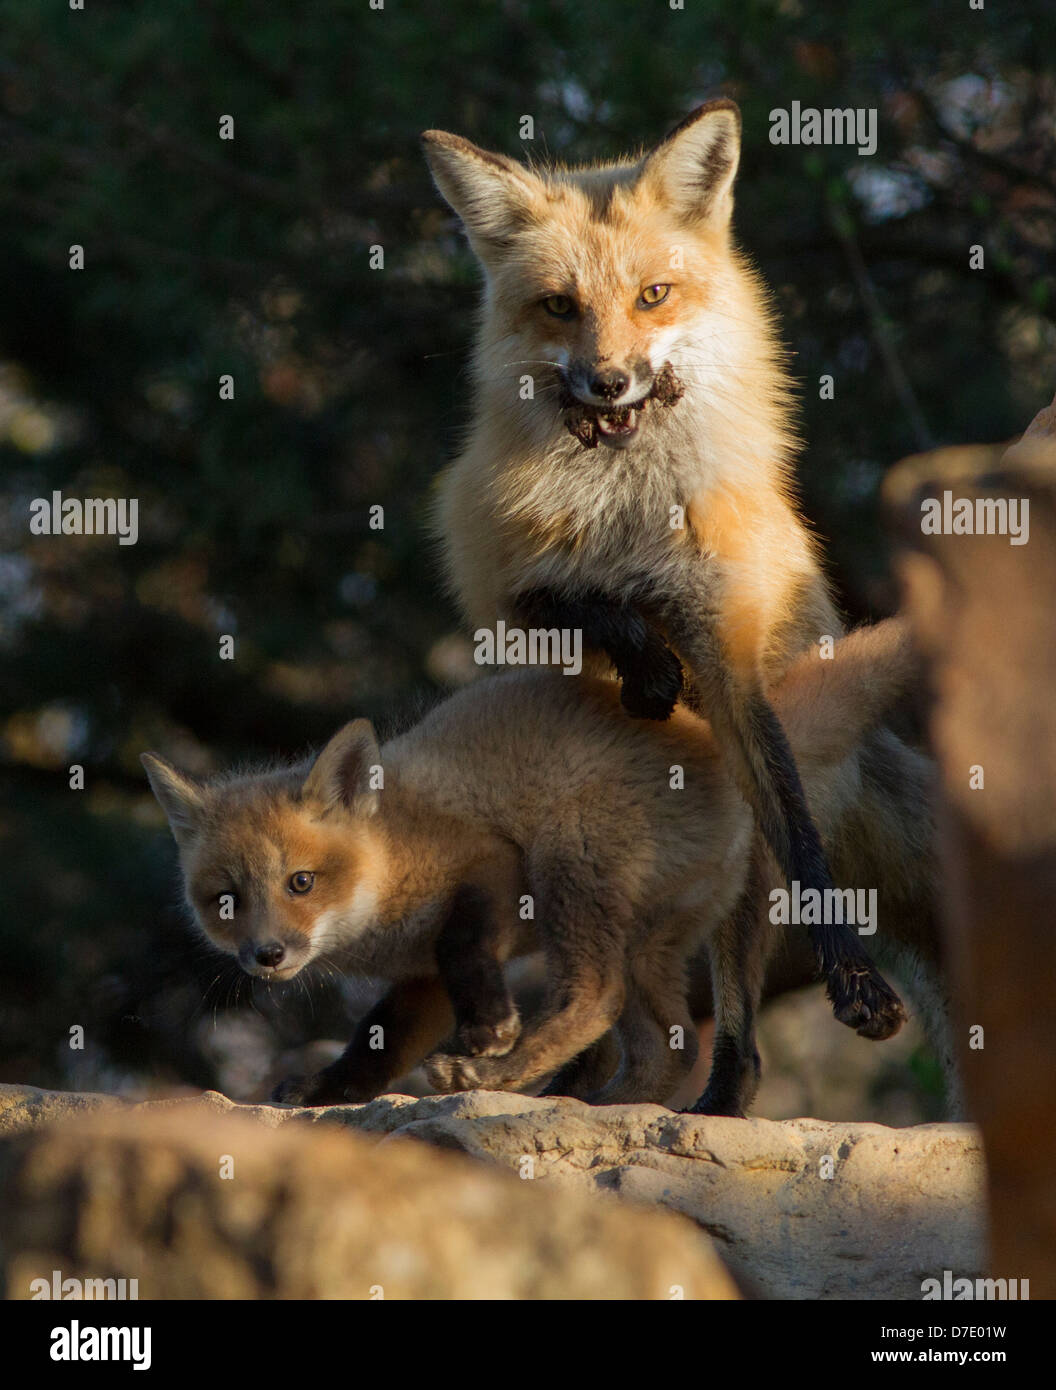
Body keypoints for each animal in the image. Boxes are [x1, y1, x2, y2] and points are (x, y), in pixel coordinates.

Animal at [142, 619, 944, 1114]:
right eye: (225, 900)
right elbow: (374, 1046)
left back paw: (509, 1077)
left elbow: (464, 945)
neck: (386, 863)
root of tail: (707, 740)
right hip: (653, 943)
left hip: (569, 865)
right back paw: (595, 1102)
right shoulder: (421, 982)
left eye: (301, 883)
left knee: (597, 997)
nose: (266, 955)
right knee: (671, 1044)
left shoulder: (488, 866)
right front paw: (320, 1095)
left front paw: (493, 1035)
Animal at [421, 100, 917, 1048]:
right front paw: (647, 672)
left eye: (653, 295)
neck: (630, 514)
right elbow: (583, 604)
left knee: (739, 1027)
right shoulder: (497, 589)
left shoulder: (732, 656)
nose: (609, 382)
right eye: (559, 306)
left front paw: (853, 973)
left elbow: (800, 834)